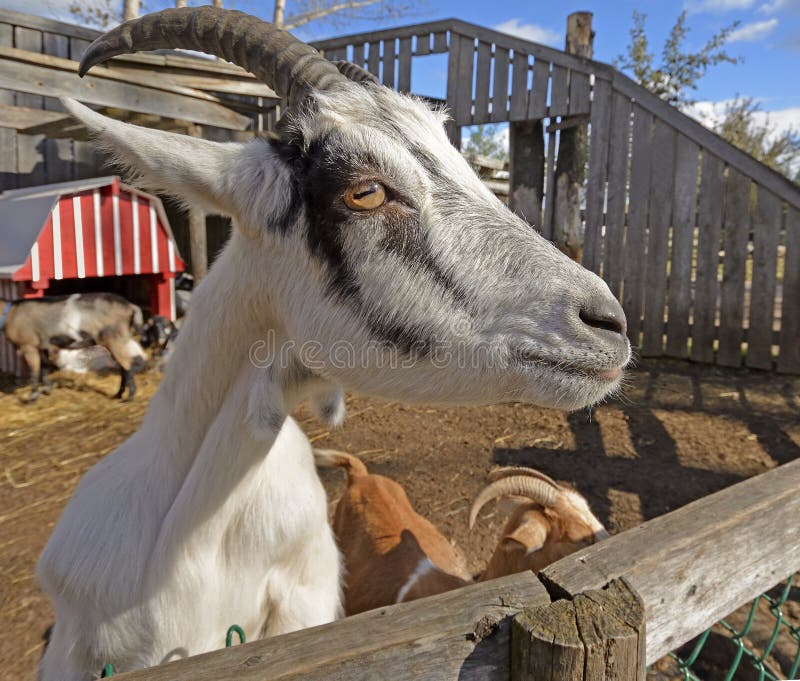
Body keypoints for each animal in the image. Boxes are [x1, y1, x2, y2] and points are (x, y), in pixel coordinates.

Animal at [0, 292, 145, 401]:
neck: (9, 313)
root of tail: (130, 306)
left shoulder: (28, 346)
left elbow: (34, 371)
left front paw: (32, 397)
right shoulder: (42, 345)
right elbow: (44, 367)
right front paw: (47, 389)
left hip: (114, 339)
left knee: (126, 365)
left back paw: (129, 397)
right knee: (123, 367)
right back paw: (118, 394)